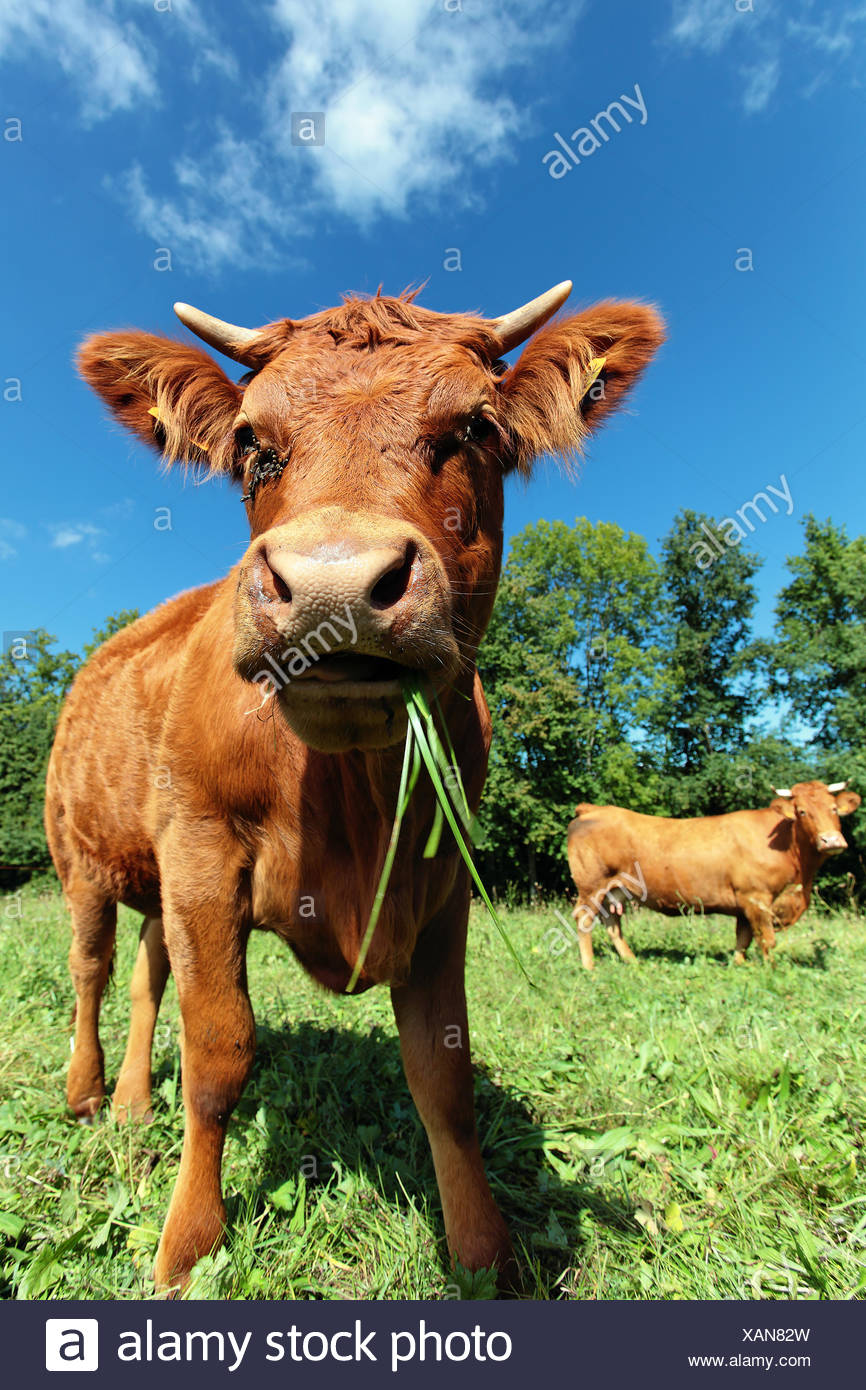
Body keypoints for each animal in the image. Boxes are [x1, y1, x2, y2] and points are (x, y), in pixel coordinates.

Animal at [44, 282, 664, 1291]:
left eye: (477, 427)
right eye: (252, 446)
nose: (331, 586)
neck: (348, 794)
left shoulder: (441, 879)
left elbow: (443, 1074)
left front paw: (486, 1255)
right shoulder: (204, 848)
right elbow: (219, 1051)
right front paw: (187, 1248)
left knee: (144, 974)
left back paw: (134, 1100)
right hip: (83, 860)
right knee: (91, 970)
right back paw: (87, 1093)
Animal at [564, 781, 860, 969]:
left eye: (834, 809)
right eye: (802, 811)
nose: (831, 840)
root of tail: (594, 809)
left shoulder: (745, 903)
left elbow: (743, 937)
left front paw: (739, 965)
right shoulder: (757, 897)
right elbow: (766, 939)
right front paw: (771, 969)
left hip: (612, 890)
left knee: (612, 923)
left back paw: (632, 960)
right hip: (591, 886)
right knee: (584, 919)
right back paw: (589, 966)